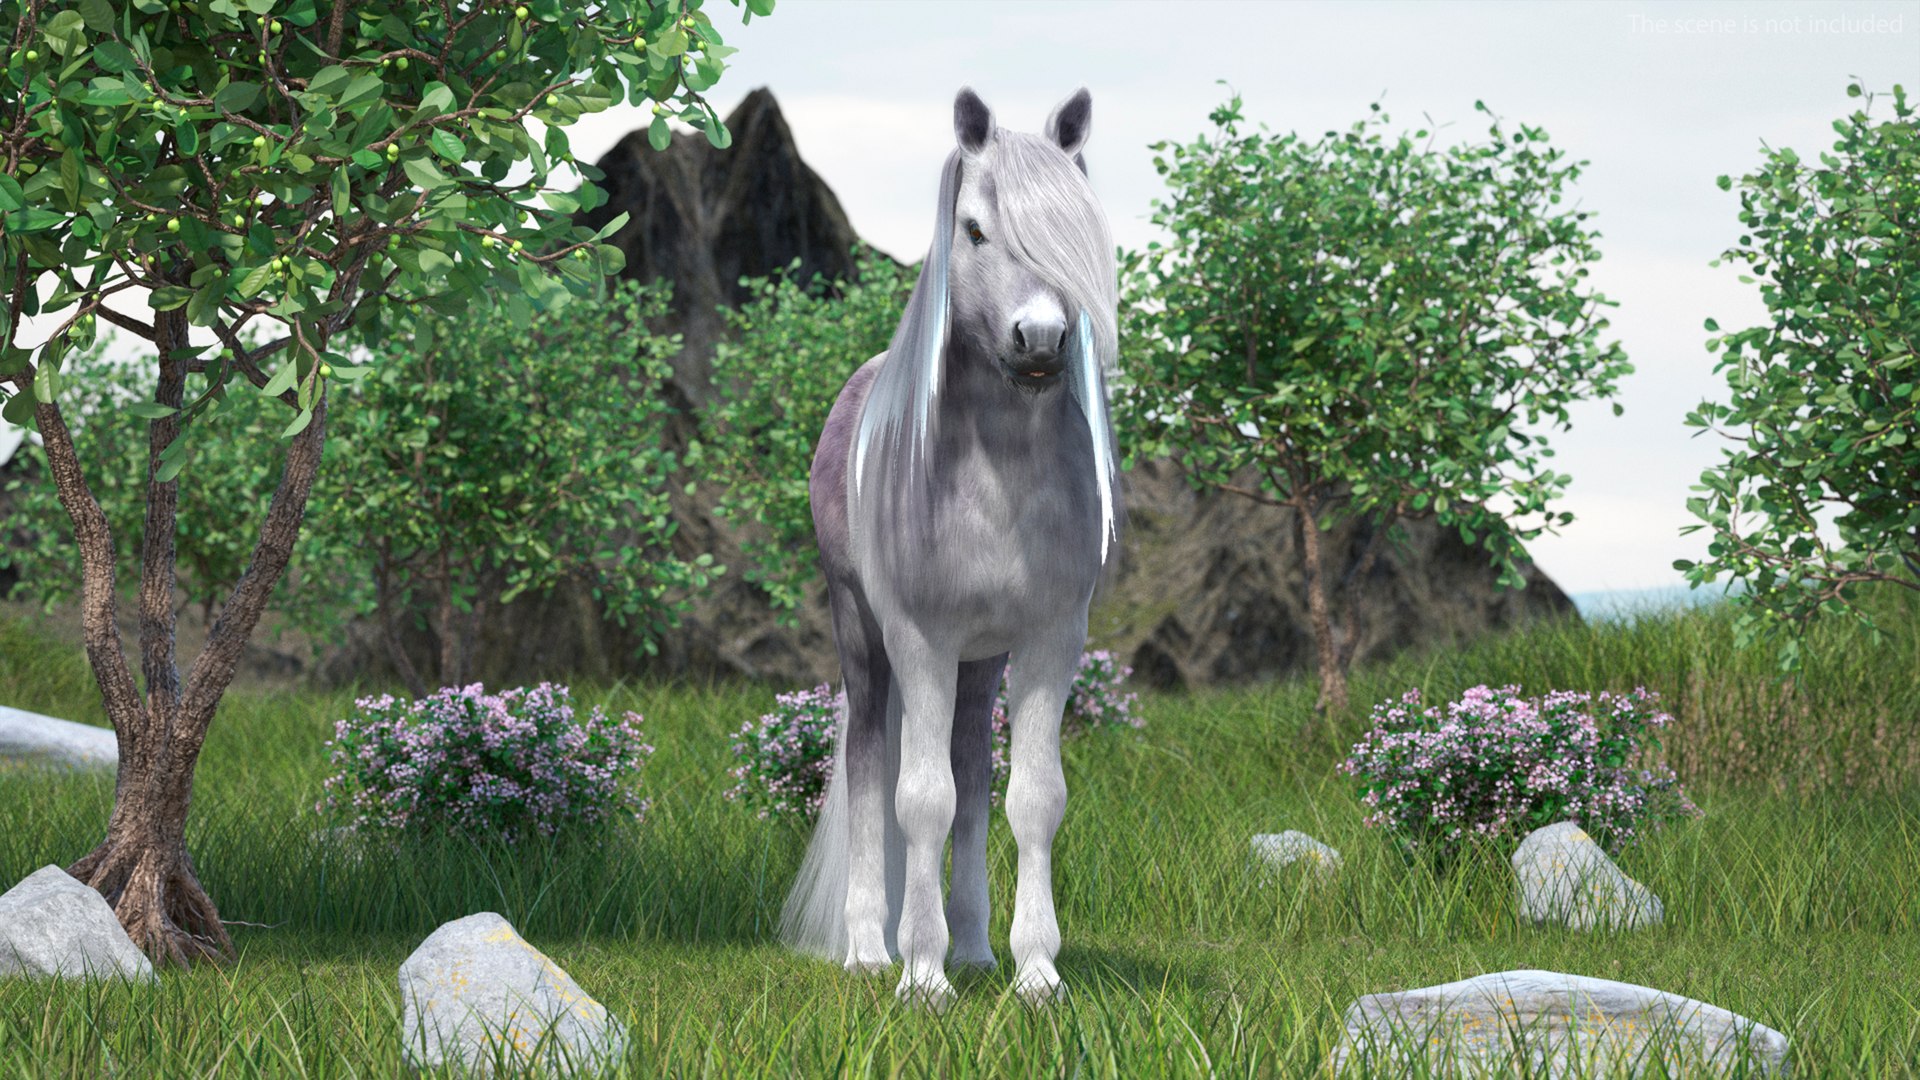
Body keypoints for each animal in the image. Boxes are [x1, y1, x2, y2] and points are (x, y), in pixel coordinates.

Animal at [778, 86, 1120, 1008]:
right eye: (974, 230)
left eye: (1078, 231)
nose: (1040, 342)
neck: (1000, 476)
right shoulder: (920, 639)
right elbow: (920, 798)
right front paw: (921, 979)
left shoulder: (1049, 639)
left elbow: (1031, 798)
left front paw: (1037, 972)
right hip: (863, 632)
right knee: (869, 760)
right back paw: (870, 950)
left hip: (980, 659)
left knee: (971, 768)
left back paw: (974, 950)